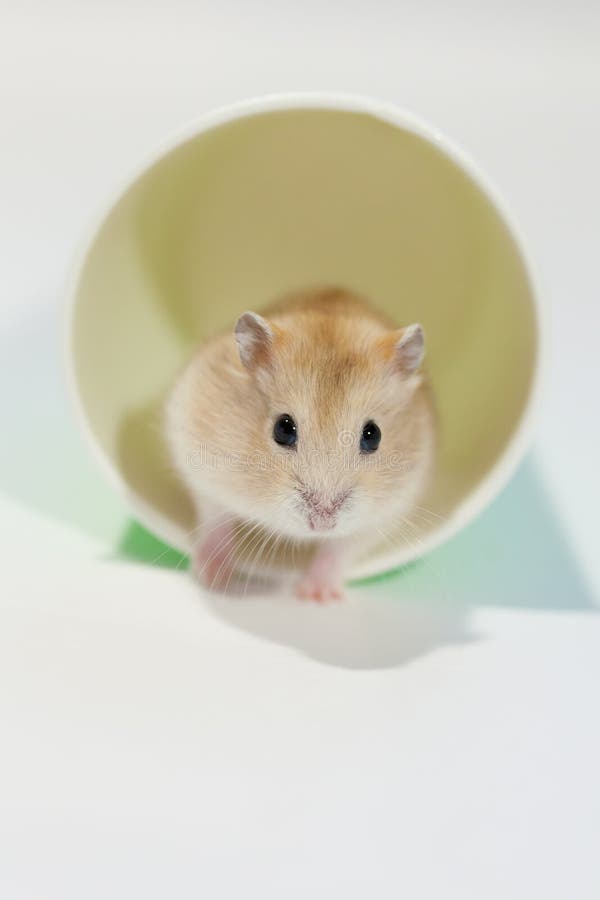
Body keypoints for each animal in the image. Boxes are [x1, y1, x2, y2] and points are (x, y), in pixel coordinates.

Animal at [165, 286, 435, 602]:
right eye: (283, 429)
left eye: (373, 435)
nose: (323, 524)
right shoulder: (201, 469)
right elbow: (215, 521)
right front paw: (212, 579)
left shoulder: (387, 511)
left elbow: (338, 550)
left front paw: (316, 596)